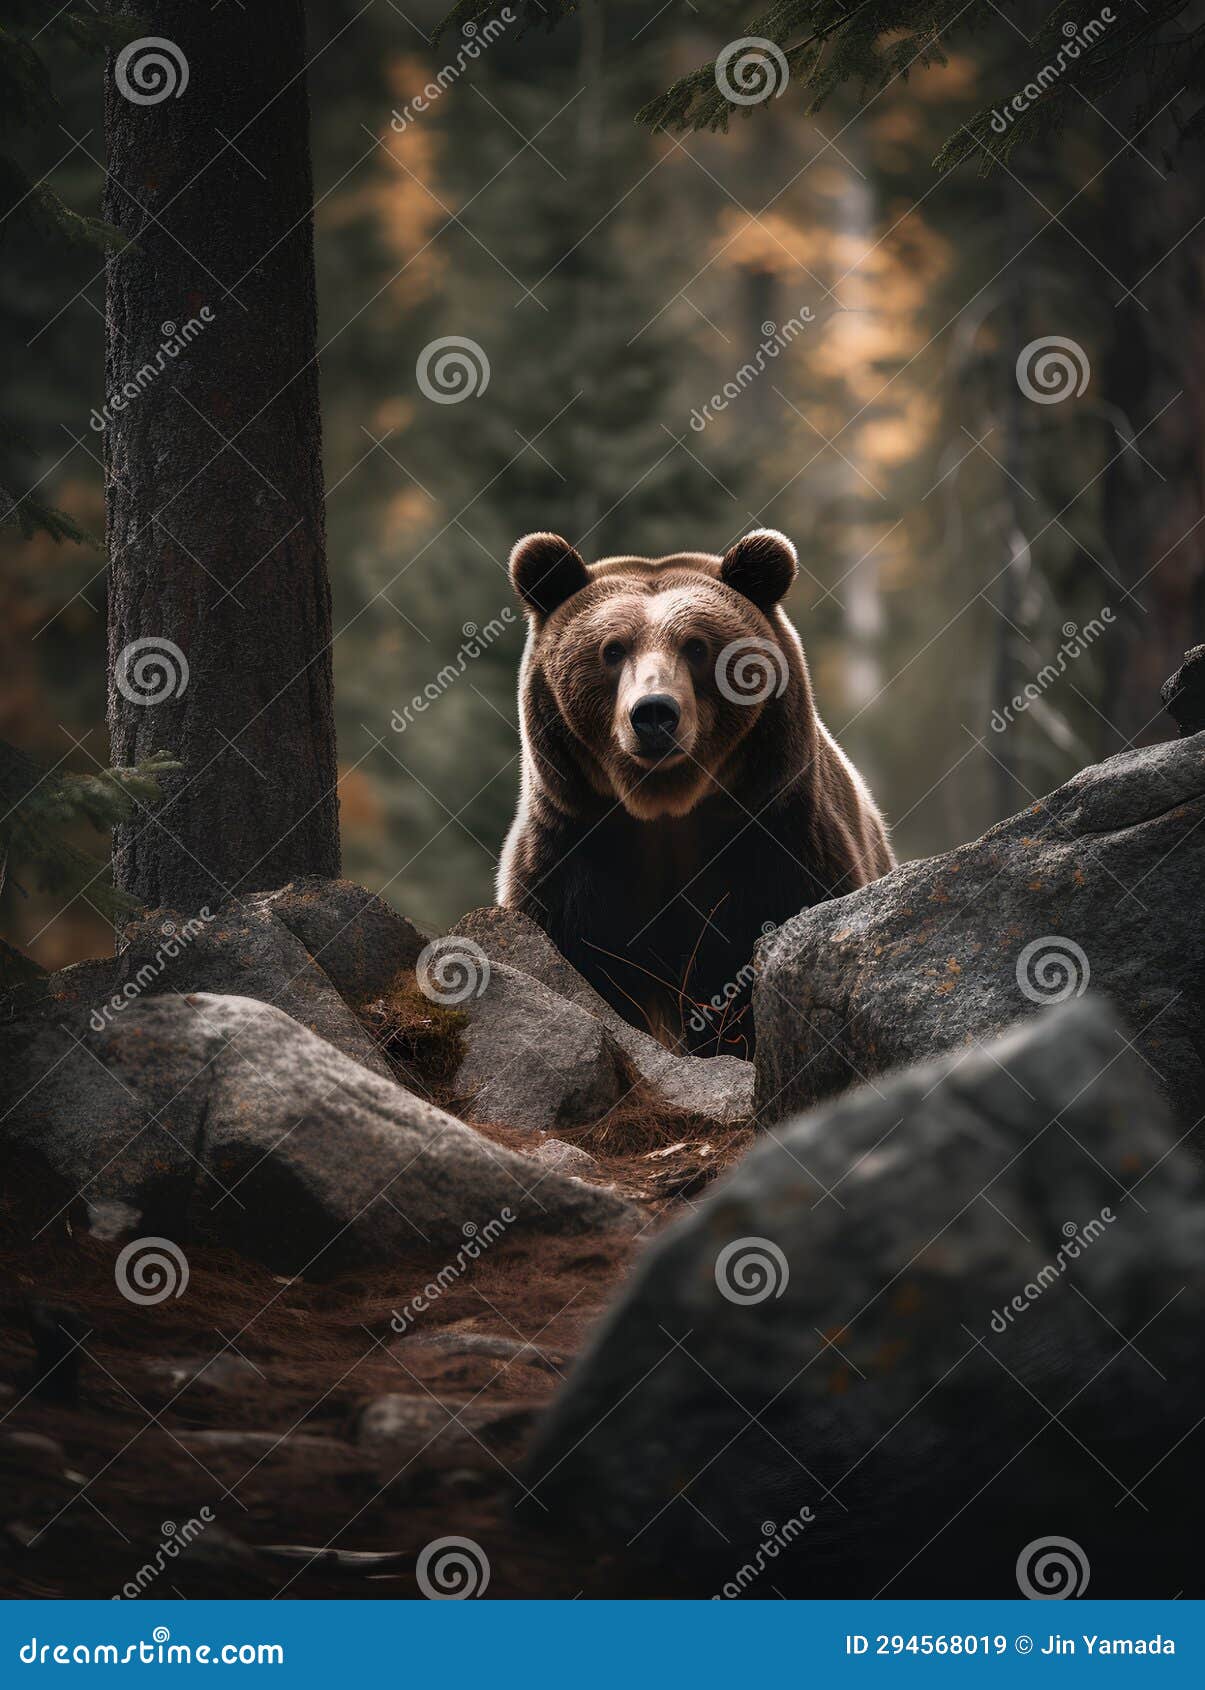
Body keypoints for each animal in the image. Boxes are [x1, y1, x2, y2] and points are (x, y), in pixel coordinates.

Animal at [497, 528, 894, 1057]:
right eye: (612, 649)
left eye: (697, 647)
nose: (654, 713)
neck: (668, 811)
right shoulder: (573, 854)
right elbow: (576, 962)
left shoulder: (779, 843)